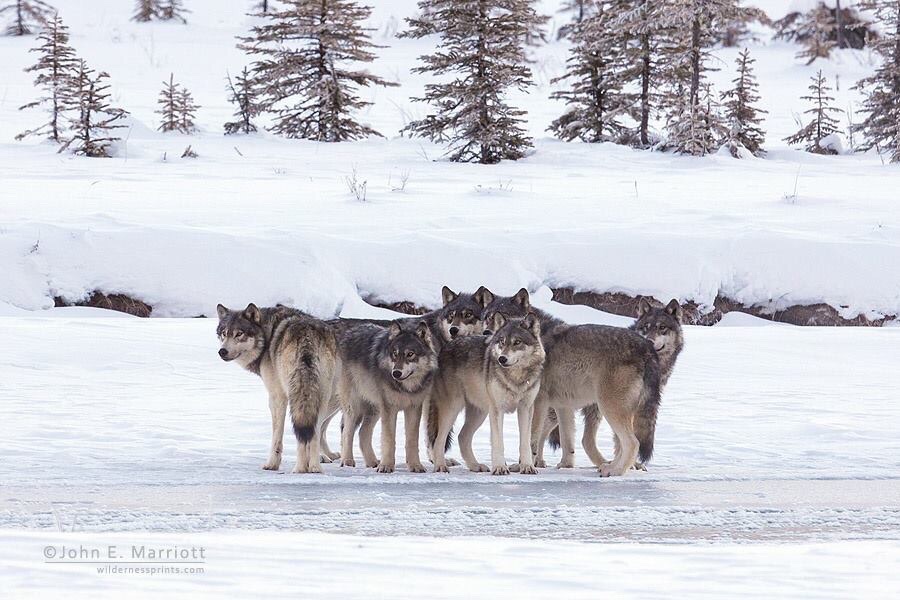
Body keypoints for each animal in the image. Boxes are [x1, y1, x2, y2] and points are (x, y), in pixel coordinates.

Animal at [216, 303, 340, 474]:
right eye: (224, 333)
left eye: (239, 334)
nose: (222, 351)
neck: (267, 334)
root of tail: (307, 336)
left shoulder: (276, 396)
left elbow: (276, 436)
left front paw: (271, 464)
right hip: (321, 397)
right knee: (314, 432)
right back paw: (315, 467)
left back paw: (299, 468)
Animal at [337, 319, 439, 473]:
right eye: (395, 354)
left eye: (410, 354)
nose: (396, 373)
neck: (405, 388)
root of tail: (350, 332)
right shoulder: (389, 408)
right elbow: (389, 439)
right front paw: (386, 466)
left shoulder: (414, 408)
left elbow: (412, 440)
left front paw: (415, 466)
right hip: (354, 406)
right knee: (347, 433)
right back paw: (347, 461)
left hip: (375, 409)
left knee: (362, 432)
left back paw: (372, 462)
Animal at [427, 312, 545, 475]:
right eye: (502, 342)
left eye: (517, 342)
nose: (502, 359)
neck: (516, 378)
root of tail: (444, 348)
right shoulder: (497, 409)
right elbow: (498, 442)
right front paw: (500, 468)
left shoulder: (526, 408)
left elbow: (525, 443)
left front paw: (527, 467)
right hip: (452, 409)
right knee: (439, 440)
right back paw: (440, 466)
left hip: (479, 413)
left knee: (462, 437)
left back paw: (475, 466)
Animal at [478, 288, 662, 476]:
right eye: (487, 318)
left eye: (504, 316)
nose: (487, 334)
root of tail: (647, 347)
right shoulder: (562, 405)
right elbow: (567, 442)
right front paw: (565, 465)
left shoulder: (538, 402)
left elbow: (532, 438)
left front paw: (523, 465)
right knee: (620, 444)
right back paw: (610, 466)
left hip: (609, 407)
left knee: (632, 443)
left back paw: (614, 471)